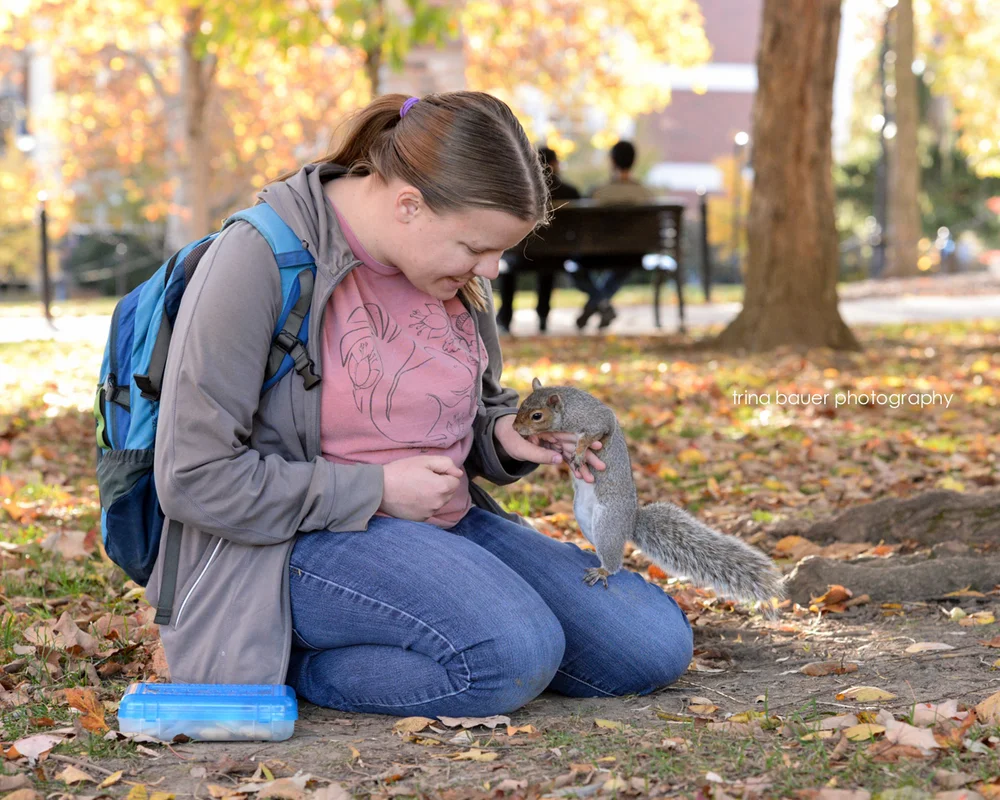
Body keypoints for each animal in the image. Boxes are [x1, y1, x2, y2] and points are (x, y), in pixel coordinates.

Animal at [513, 378, 784, 606]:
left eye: (537, 415)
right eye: (521, 405)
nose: (515, 429)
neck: (569, 407)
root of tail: (630, 521)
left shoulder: (596, 420)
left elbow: (592, 436)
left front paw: (579, 452)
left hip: (608, 521)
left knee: (615, 560)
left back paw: (603, 570)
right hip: (585, 517)